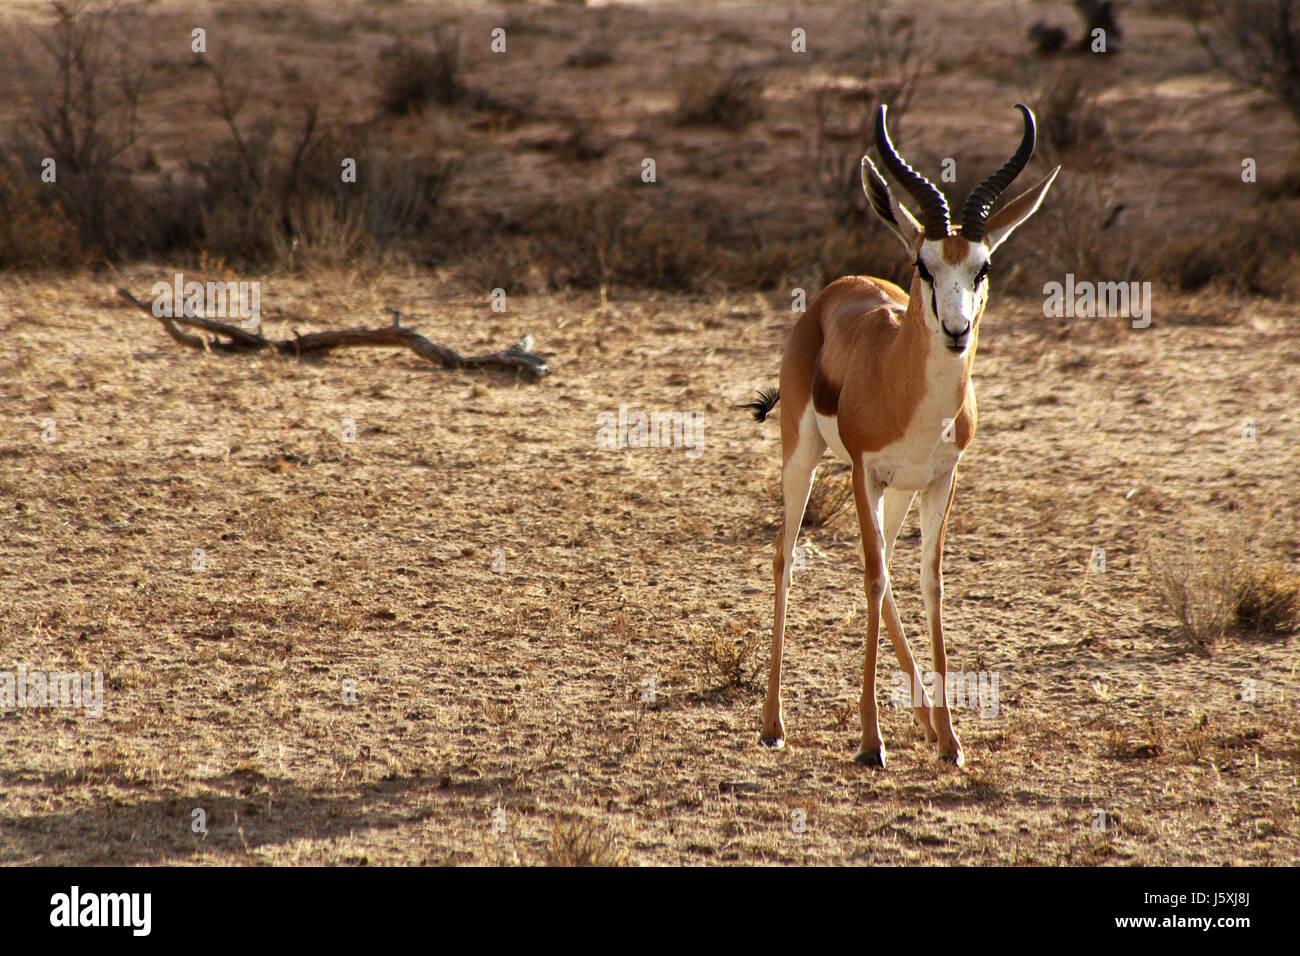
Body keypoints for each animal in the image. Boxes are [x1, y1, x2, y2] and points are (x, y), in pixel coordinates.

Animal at [746, 104, 1058, 767]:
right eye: (924, 265)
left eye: (982, 266)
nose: (956, 330)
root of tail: (839, 287)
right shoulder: (864, 472)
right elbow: (870, 579)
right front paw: (870, 742)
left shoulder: (941, 479)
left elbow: (926, 583)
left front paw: (952, 739)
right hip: (804, 459)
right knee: (788, 555)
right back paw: (773, 723)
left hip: (898, 492)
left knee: (887, 564)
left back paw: (926, 724)